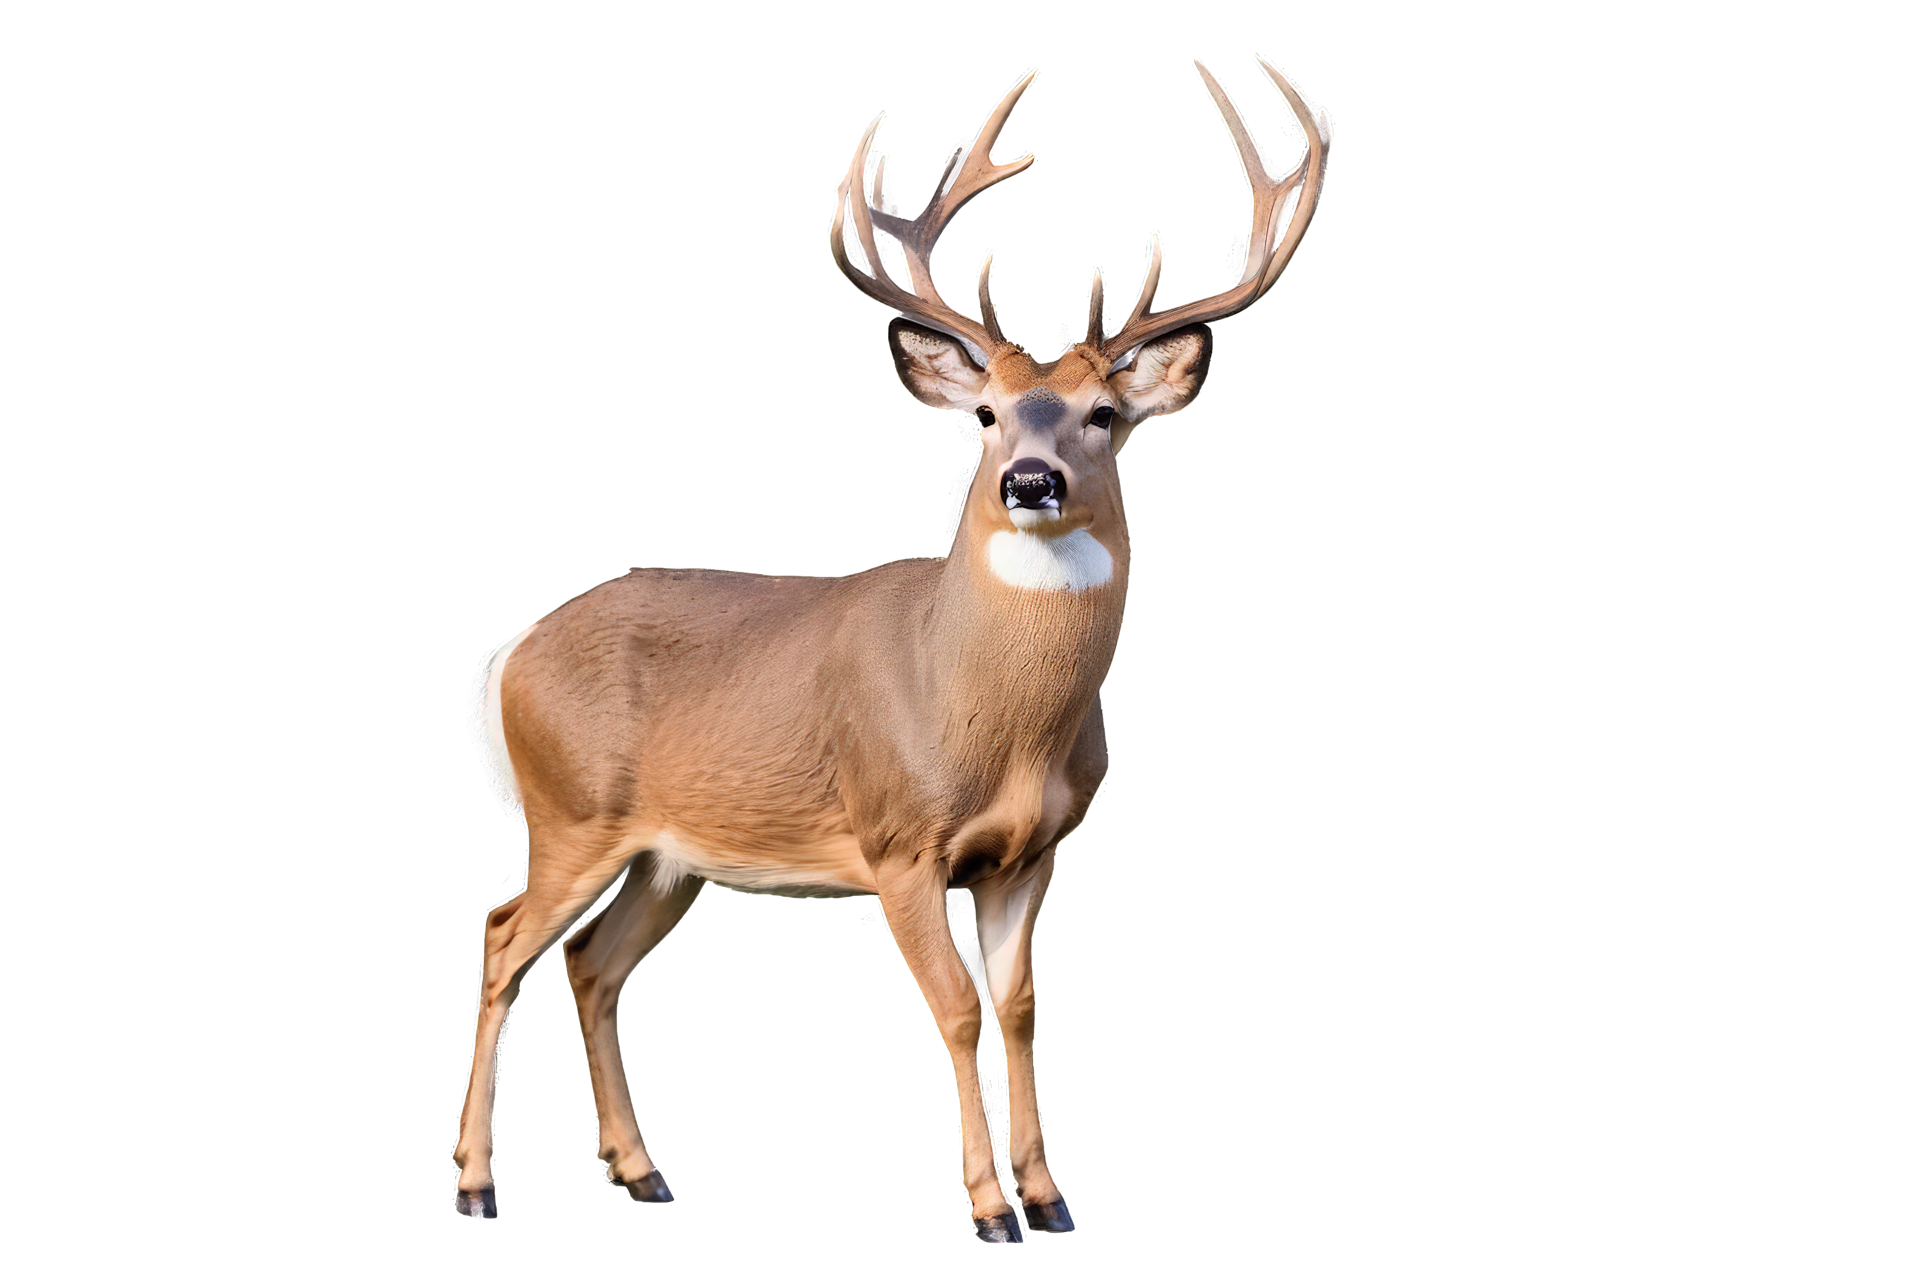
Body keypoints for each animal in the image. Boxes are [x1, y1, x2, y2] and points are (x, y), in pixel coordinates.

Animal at [450, 53, 1330, 1241]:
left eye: (1103, 415)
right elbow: (954, 1008)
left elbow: (1019, 1006)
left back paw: (643, 1179)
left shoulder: (1034, 853)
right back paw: (477, 1188)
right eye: (985, 417)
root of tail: (515, 651)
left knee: (588, 965)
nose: (1031, 481)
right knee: (505, 939)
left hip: (666, 852)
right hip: (573, 812)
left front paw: (1054, 1198)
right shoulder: (898, 839)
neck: (988, 717)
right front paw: (988, 1204)